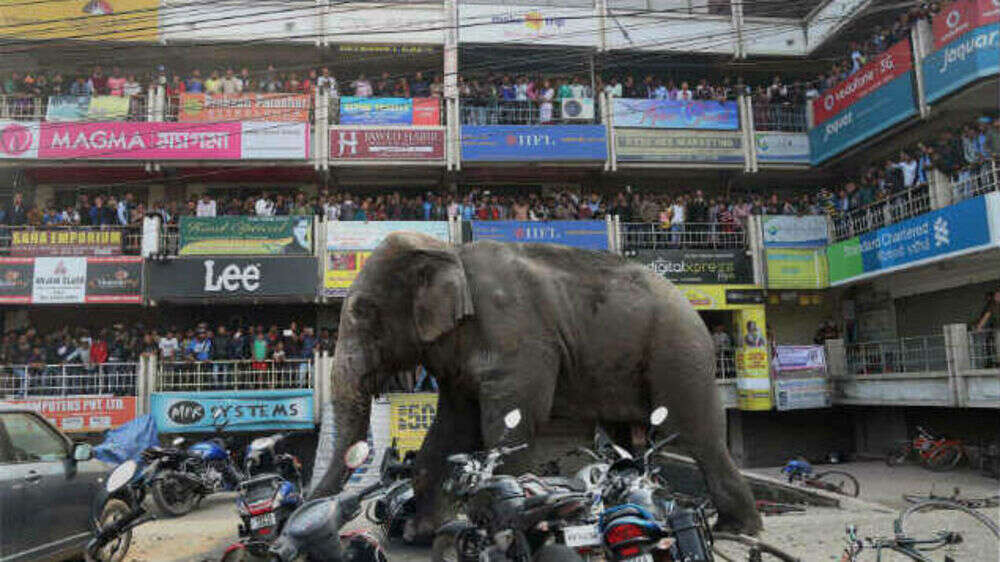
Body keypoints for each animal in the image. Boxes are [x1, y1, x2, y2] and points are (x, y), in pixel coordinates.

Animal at [310, 231, 762, 538]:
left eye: (363, 311)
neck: (450, 251)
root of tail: (694, 307)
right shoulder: (459, 363)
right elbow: (450, 431)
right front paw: (420, 533)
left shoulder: (516, 339)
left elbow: (509, 427)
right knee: (628, 438)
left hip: (678, 352)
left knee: (695, 433)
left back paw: (737, 529)